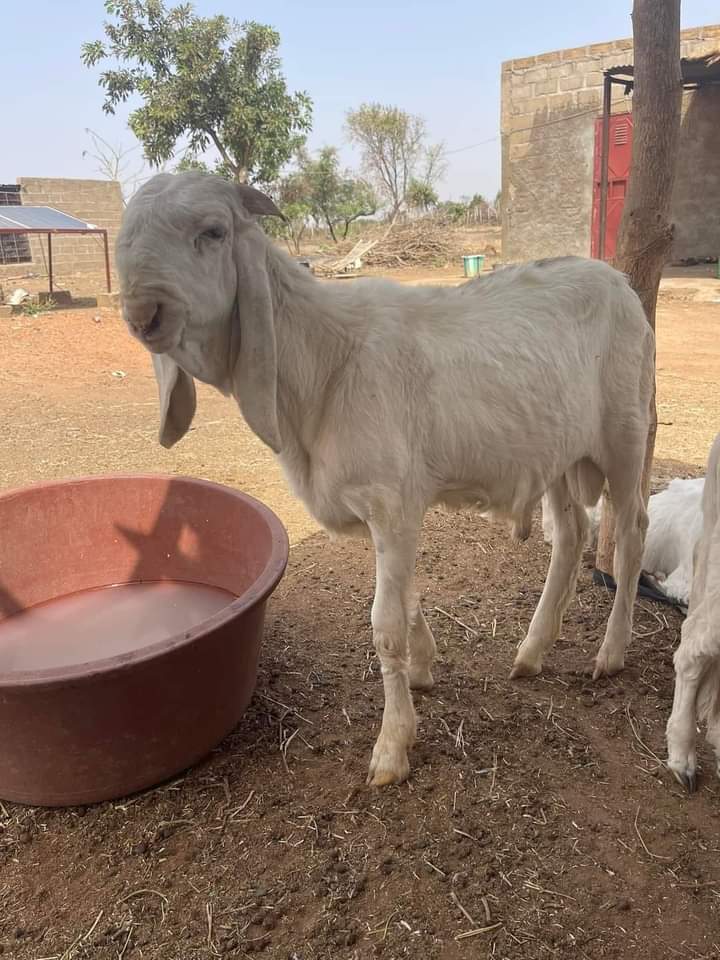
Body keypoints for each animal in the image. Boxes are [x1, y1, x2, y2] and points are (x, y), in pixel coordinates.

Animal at [116, 171, 655, 787]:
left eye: (213, 231)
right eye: (124, 240)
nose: (144, 314)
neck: (318, 359)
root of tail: (615, 278)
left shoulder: (391, 504)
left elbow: (384, 624)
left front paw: (392, 747)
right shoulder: (393, 511)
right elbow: (409, 597)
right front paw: (423, 670)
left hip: (625, 431)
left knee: (632, 531)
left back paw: (610, 653)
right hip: (560, 451)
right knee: (571, 535)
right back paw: (531, 652)